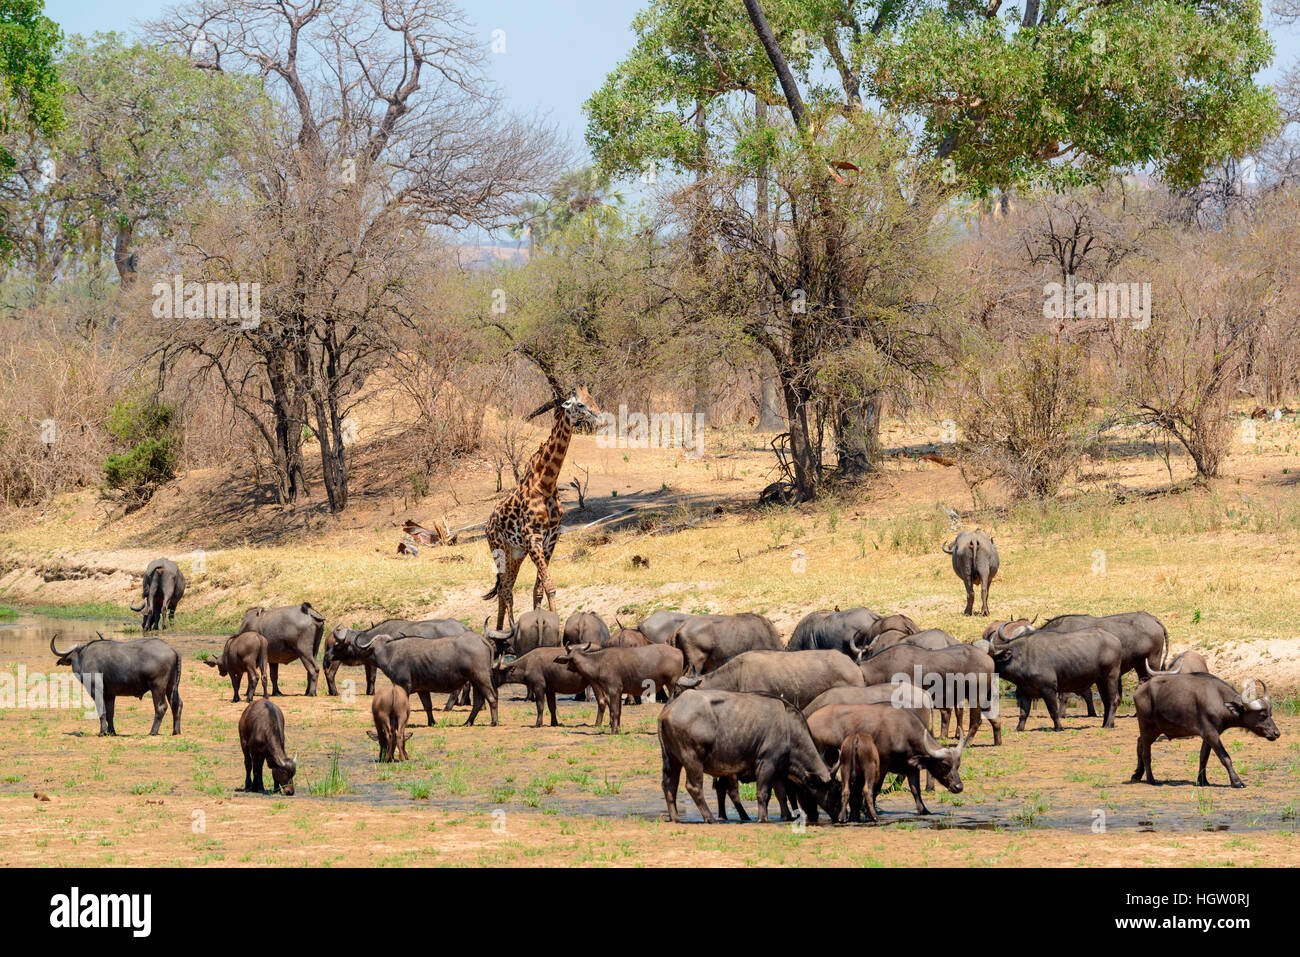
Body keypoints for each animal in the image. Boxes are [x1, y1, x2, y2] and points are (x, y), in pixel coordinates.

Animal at [483, 389, 599, 630]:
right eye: (581, 405)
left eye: (594, 401)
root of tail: (487, 524)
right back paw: (506, 632)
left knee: (505, 589)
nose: (598, 416)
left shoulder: (551, 538)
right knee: (505, 590)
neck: (545, 483)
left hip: (515, 553)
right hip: (498, 548)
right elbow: (549, 585)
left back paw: (498, 630)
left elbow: (539, 589)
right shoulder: (533, 538)